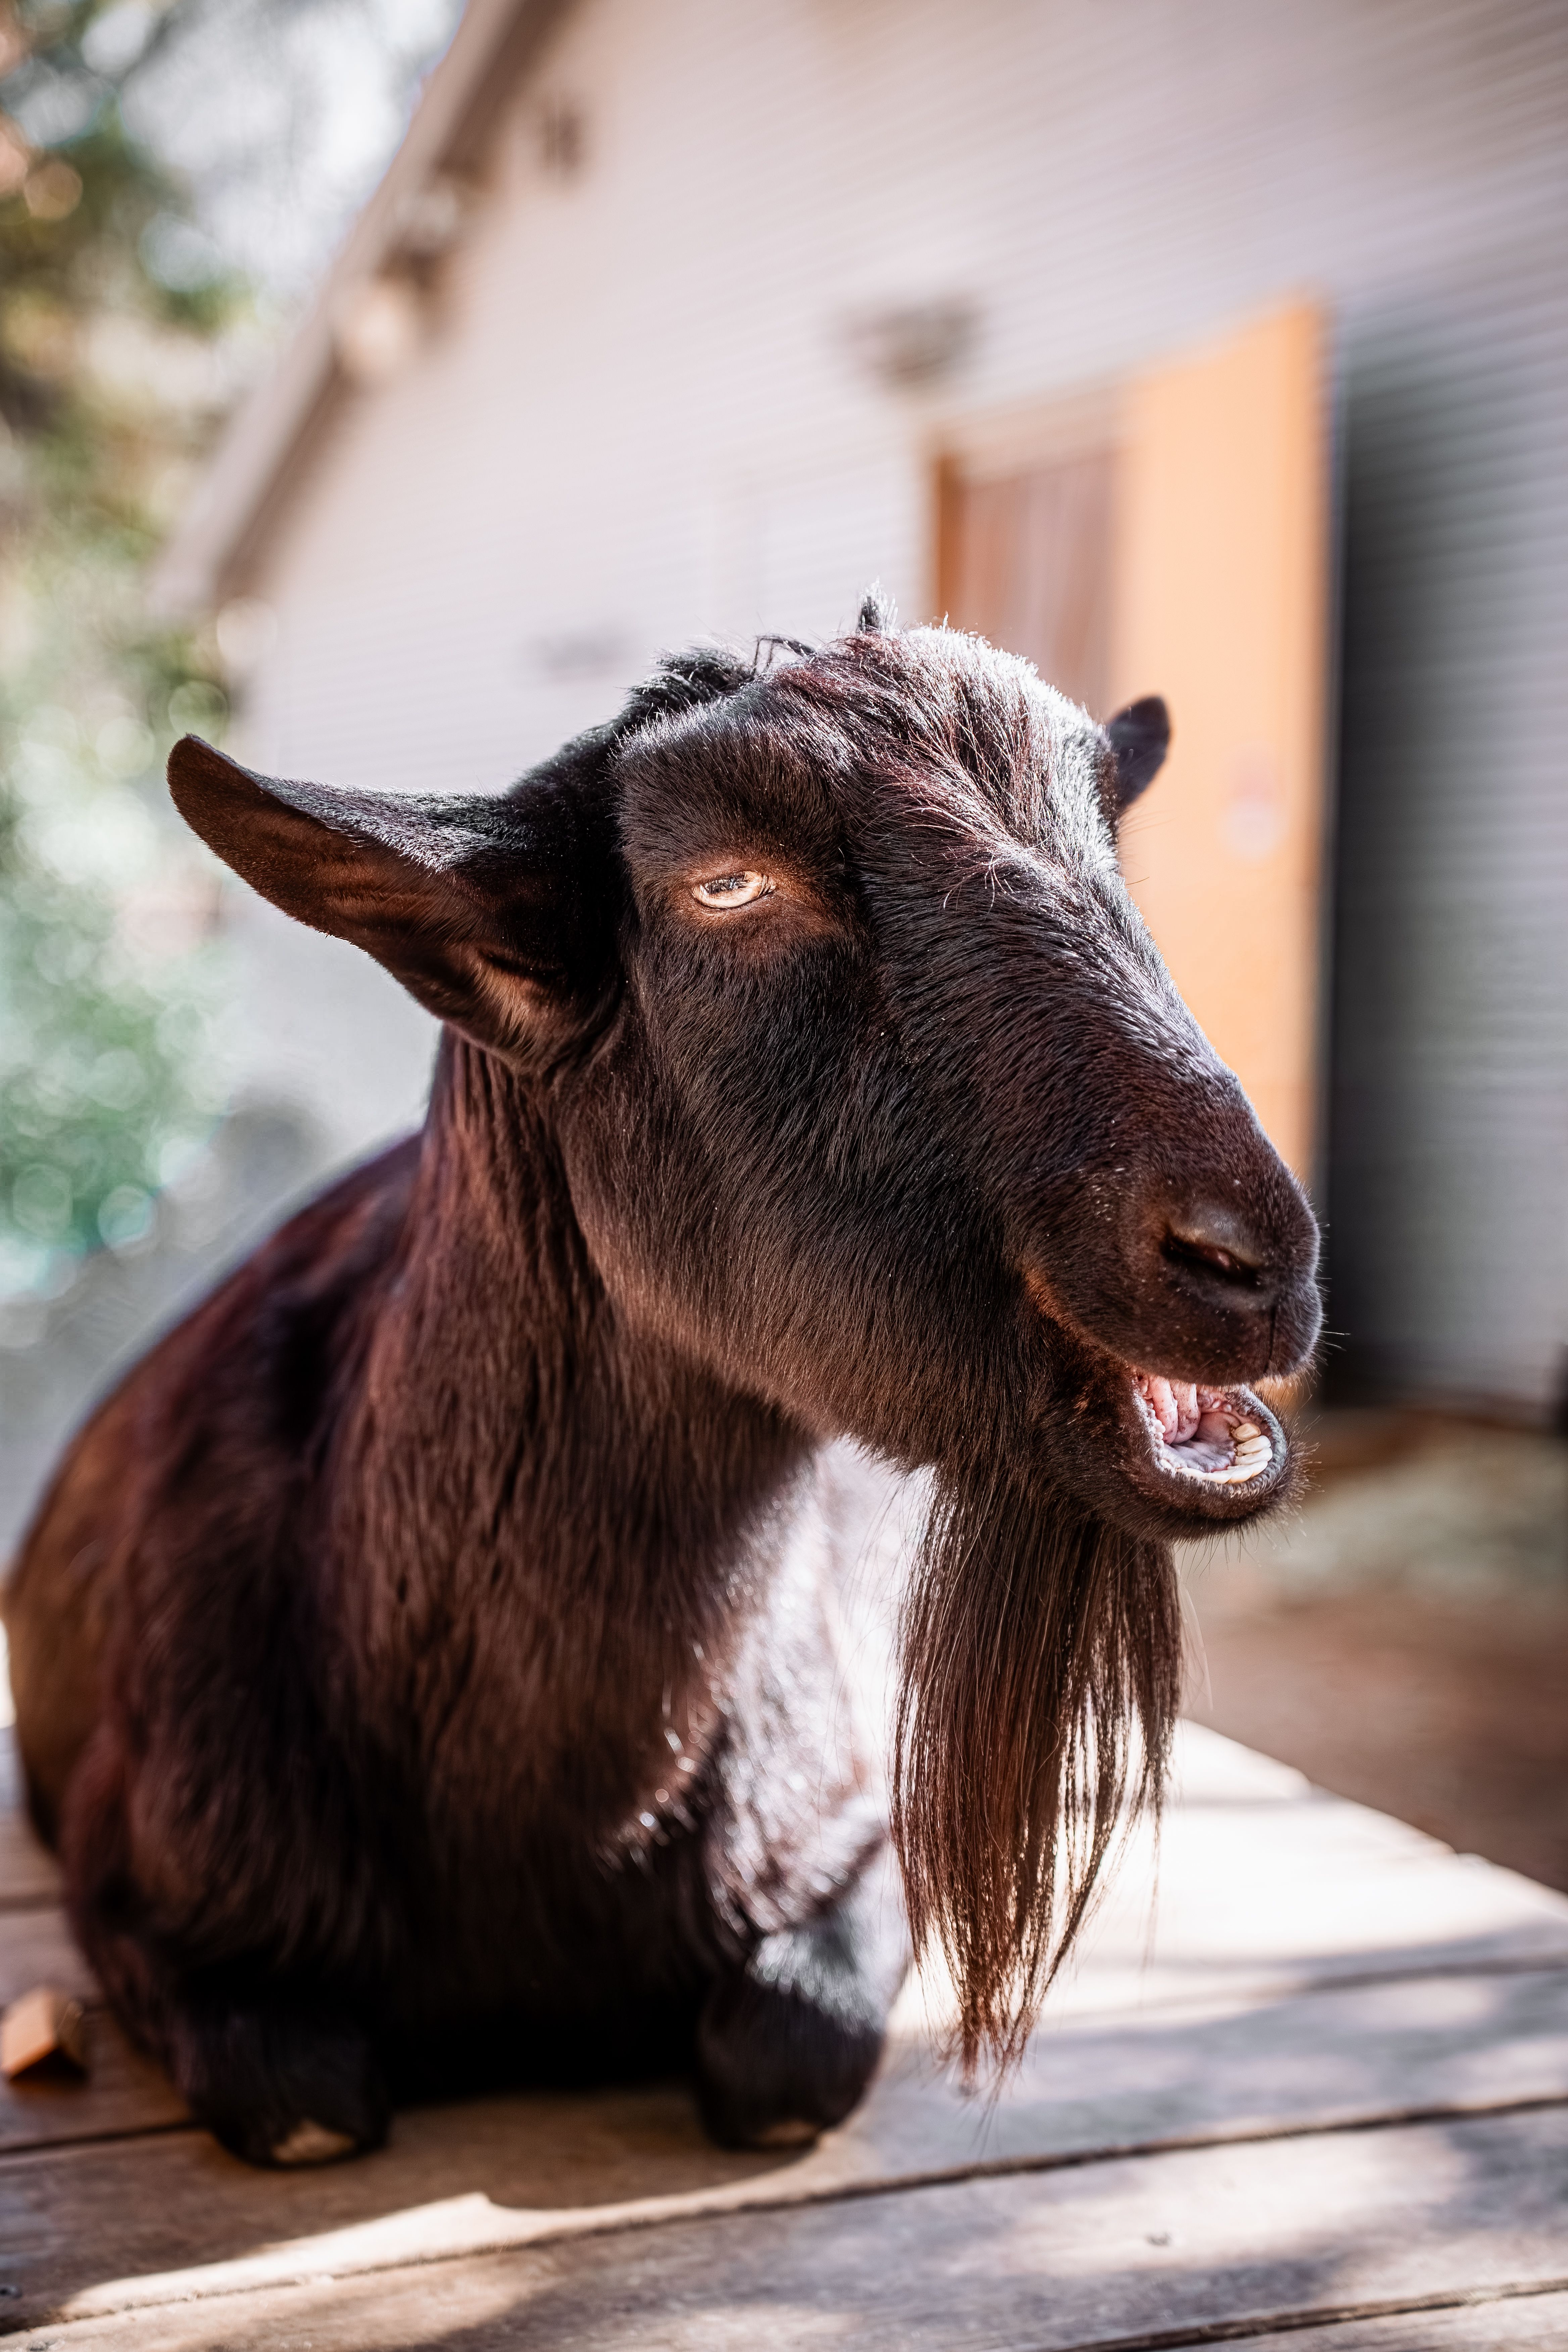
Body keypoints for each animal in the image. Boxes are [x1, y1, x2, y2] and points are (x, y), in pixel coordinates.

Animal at [5, 599, 1320, 2165]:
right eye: (726, 885)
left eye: (1104, 829)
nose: (1249, 1254)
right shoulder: (137, 1888)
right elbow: (308, 2104)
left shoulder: (845, 1833)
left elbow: (789, 2052)